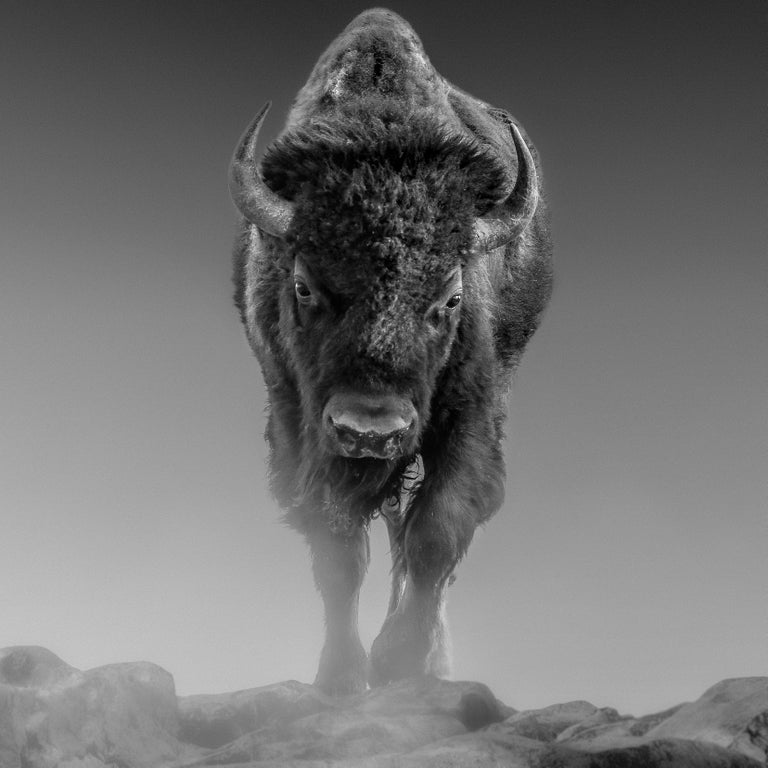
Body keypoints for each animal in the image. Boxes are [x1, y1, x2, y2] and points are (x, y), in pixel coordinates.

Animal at [230, 8, 552, 694]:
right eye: (303, 284)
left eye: (452, 296)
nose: (371, 429)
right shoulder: (300, 427)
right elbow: (338, 551)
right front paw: (342, 675)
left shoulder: (472, 421)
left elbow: (434, 535)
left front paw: (401, 663)